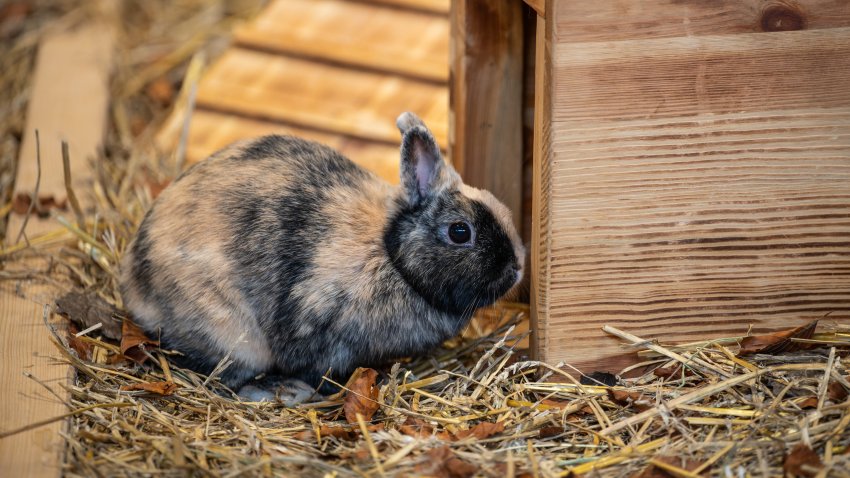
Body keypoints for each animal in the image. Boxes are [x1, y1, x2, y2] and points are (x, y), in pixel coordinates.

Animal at [119, 112, 525, 401]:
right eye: (460, 232)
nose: (517, 268)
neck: (392, 256)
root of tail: (135, 287)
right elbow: (318, 369)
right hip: (234, 337)